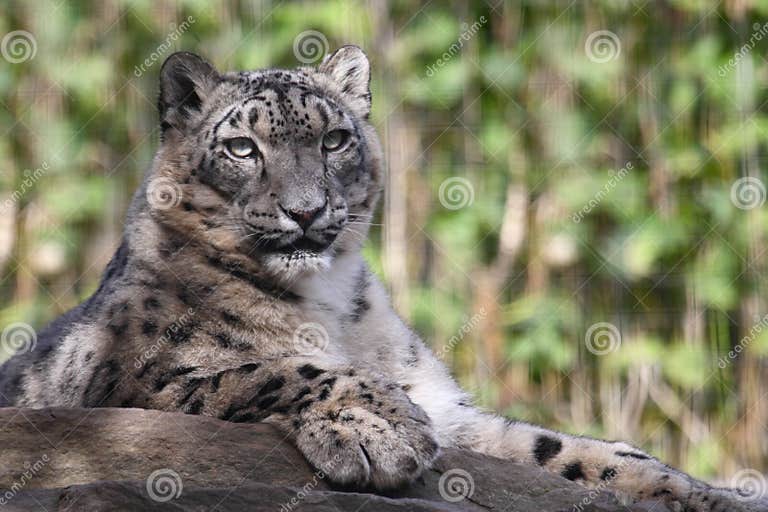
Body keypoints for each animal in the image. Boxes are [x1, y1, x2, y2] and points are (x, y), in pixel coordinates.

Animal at [0, 45, 765, 511]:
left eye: (335, 139)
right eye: (242, 148)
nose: (305, 210)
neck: (329, 304)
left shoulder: (448, 405)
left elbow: (553, 446)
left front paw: (708, 493)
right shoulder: (126, 382)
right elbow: (270, 370)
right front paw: (382, 429)